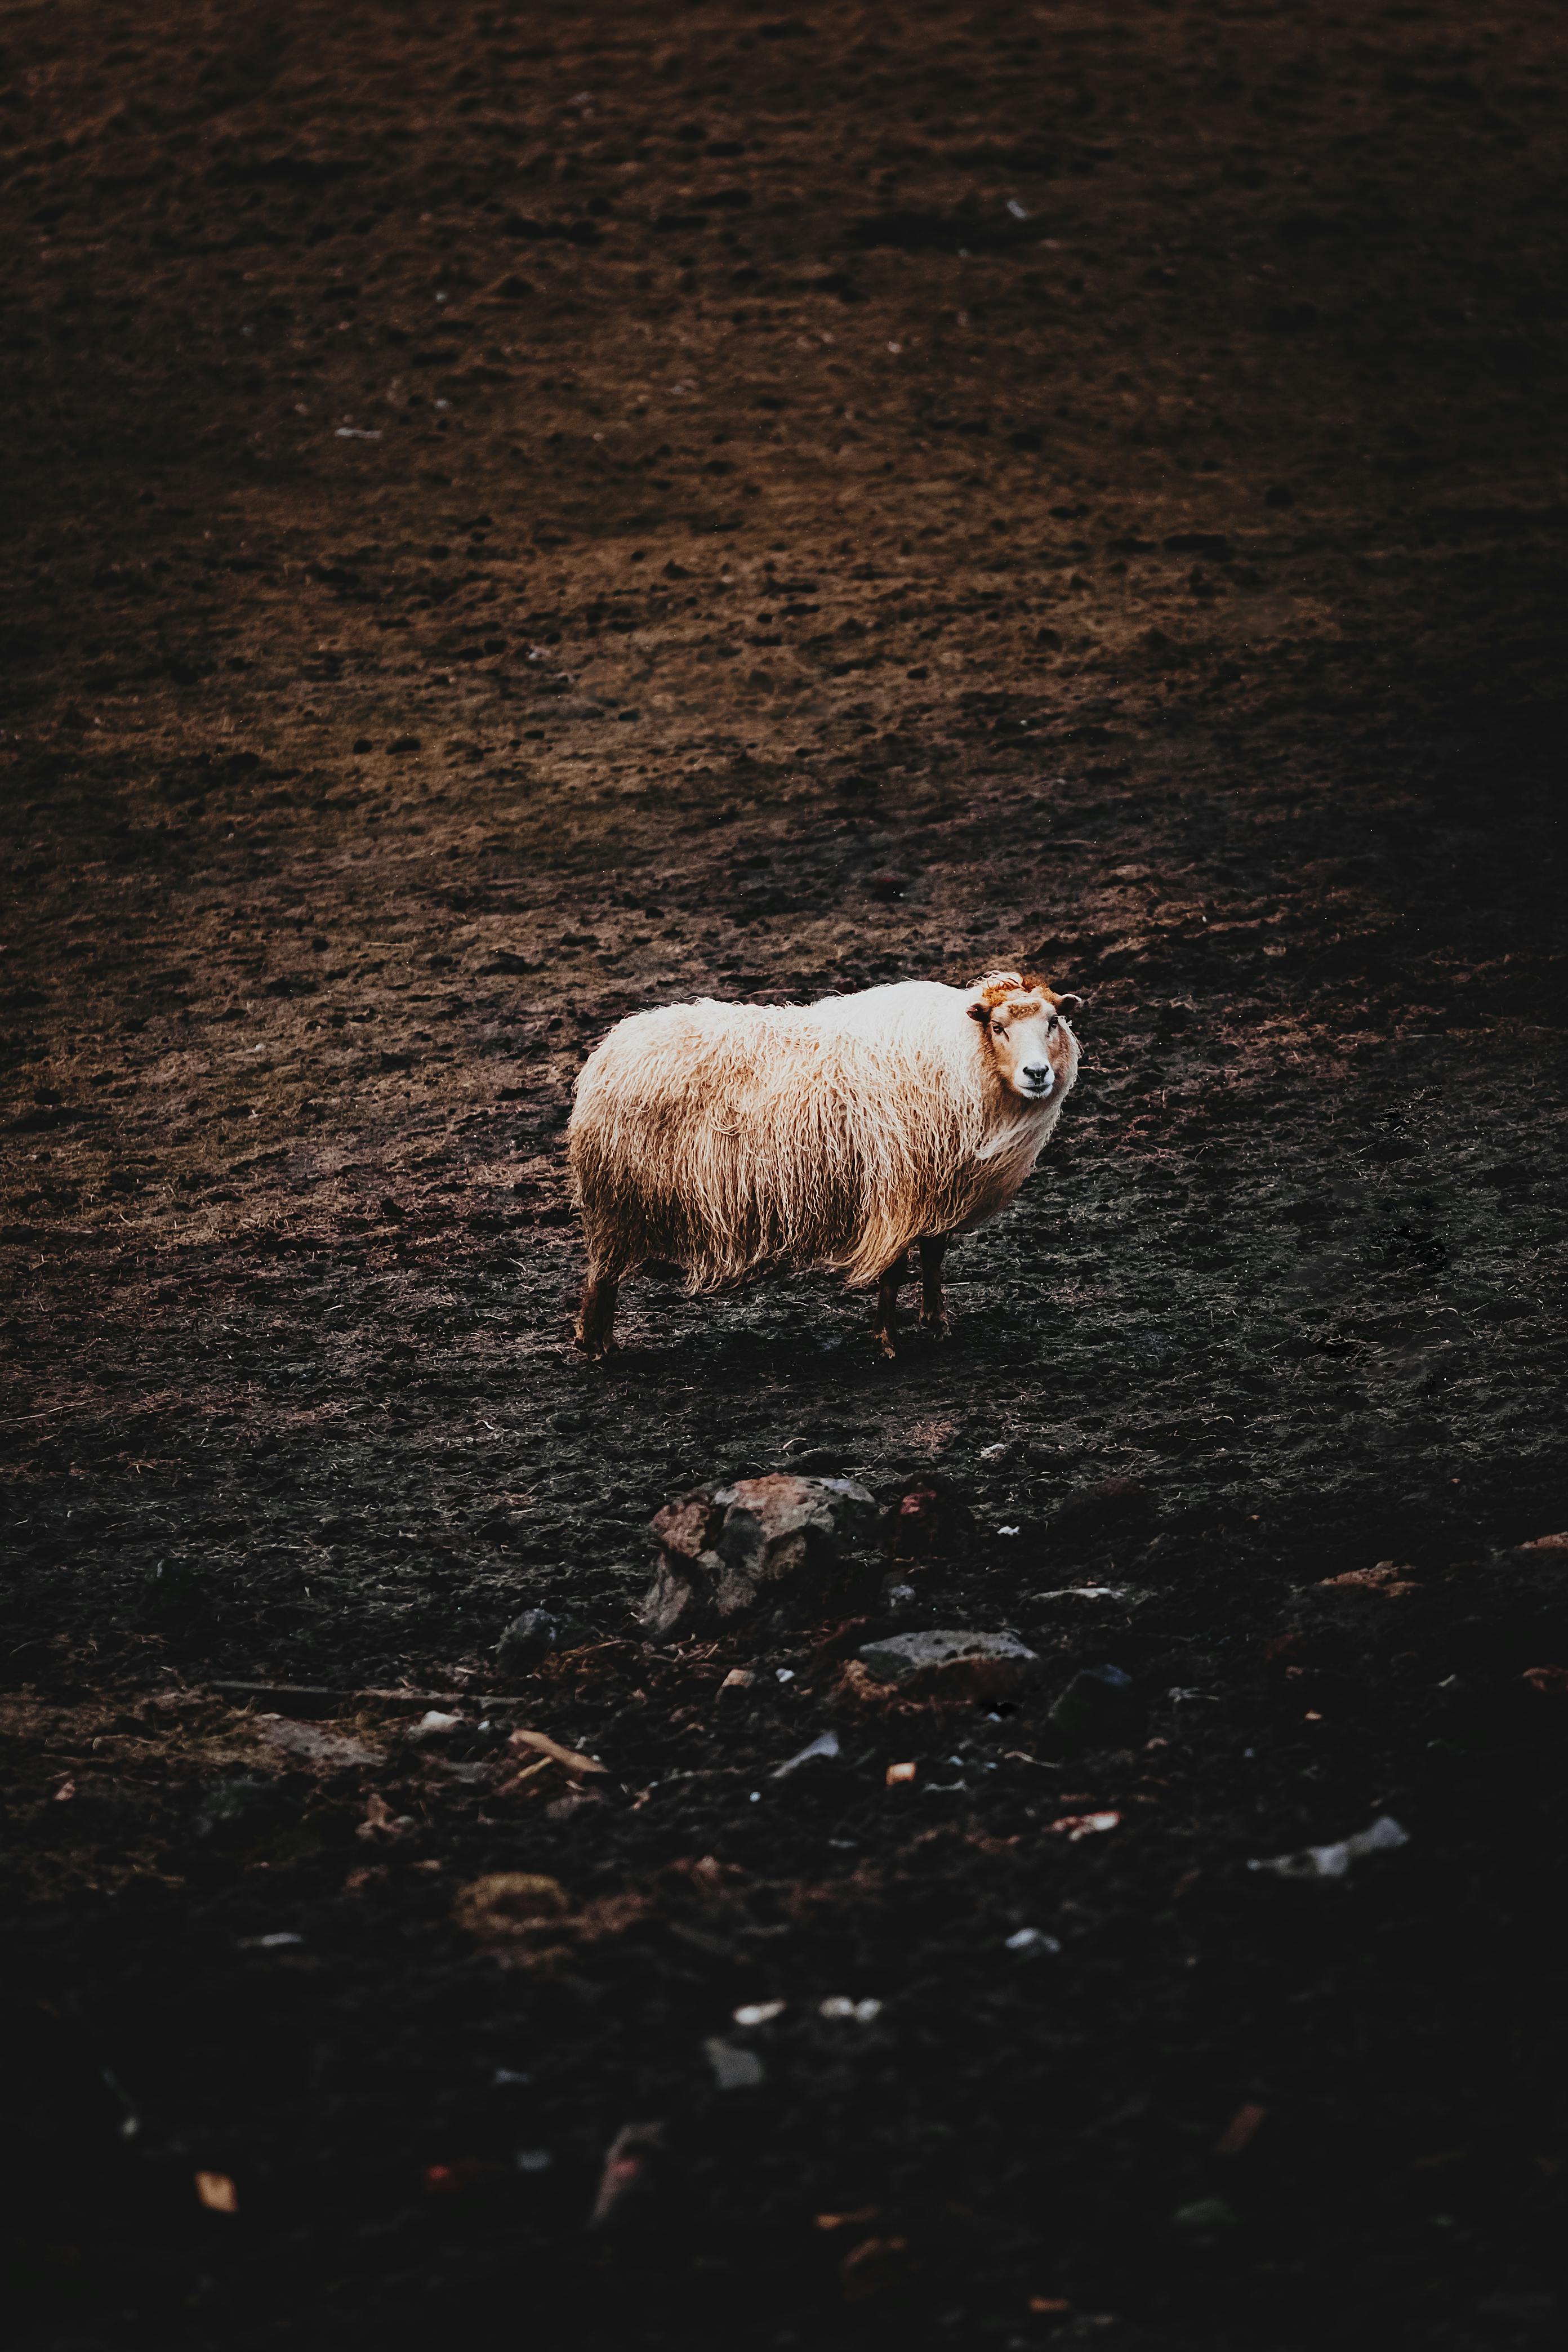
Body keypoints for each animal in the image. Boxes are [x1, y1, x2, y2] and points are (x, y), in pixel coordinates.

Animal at [567, 969, 1083, 1360]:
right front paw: (888, 1342)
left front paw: (937, 1323)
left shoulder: (939, 1189)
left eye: (1053, 1021)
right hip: (617, 1200)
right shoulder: (899, 1192)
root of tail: (608, 1053)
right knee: (601, 1277)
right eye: (998, 1027)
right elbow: (894, 1270)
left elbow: (934, 1257)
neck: (961, 1059)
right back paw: (597, 1346)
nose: (1037, 1073)